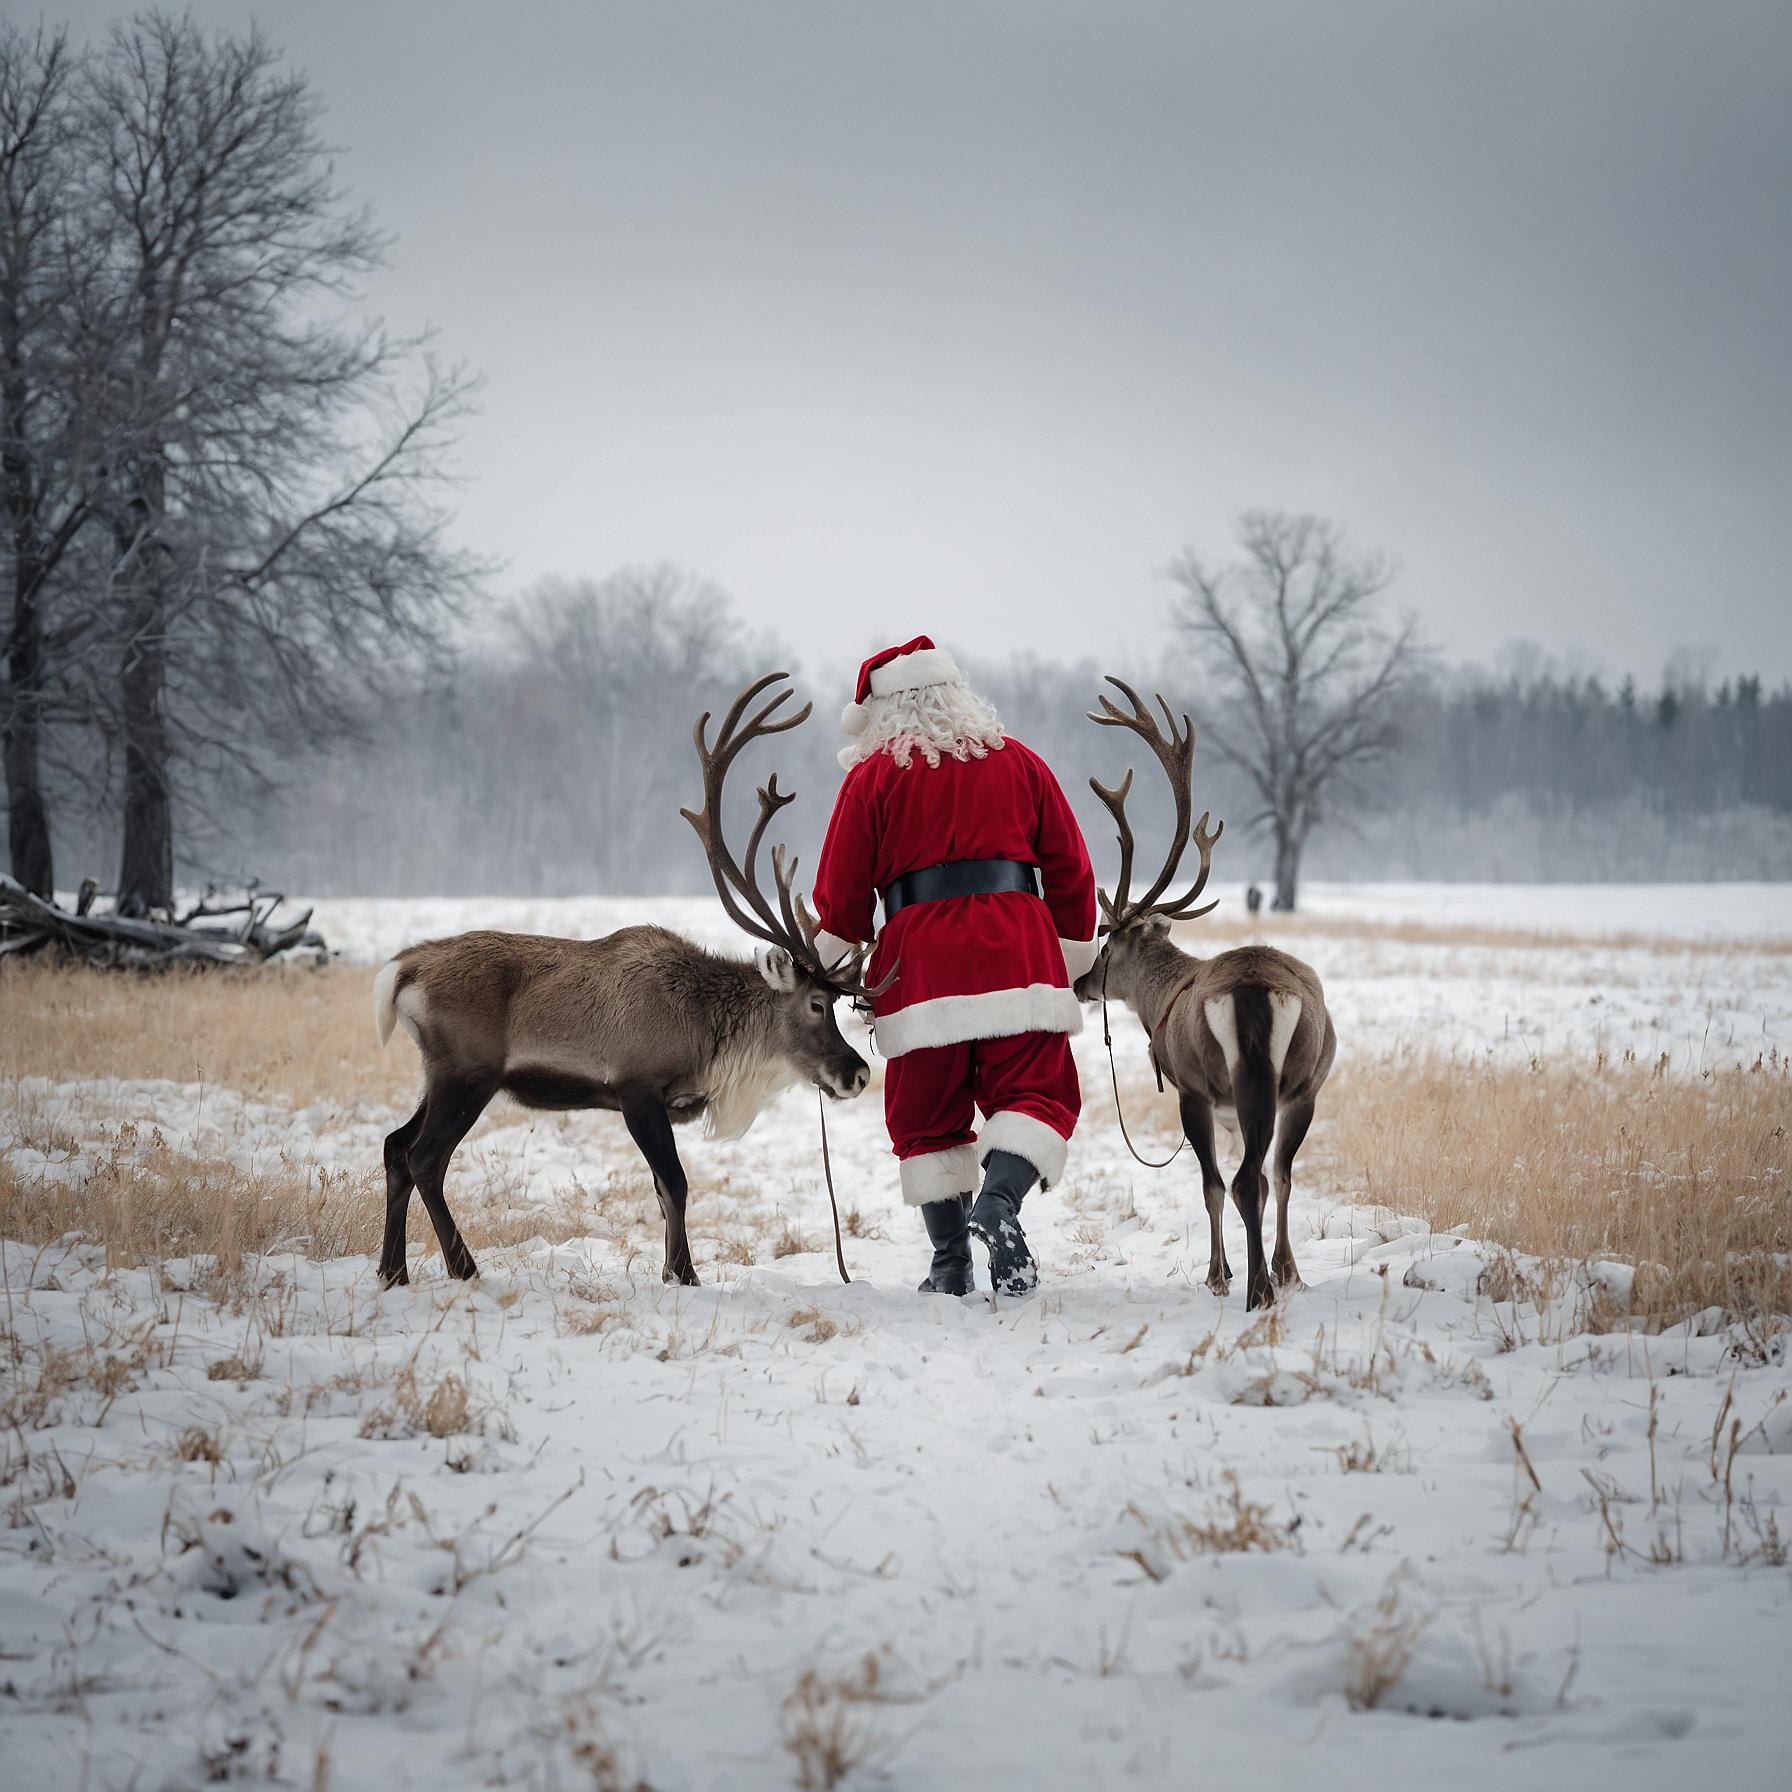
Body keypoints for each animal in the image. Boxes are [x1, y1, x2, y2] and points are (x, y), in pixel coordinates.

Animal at [369, 672, 886, 1290]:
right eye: (815, 1004)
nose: (857, 1073)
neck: (707, 1037)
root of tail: (403, 970)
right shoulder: (636, 1085)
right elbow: (676, 1185)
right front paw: (684, 1275)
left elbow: (664, 1191)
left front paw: (672, 1271)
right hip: (467, 1072)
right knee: (424, 1157)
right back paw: (462, 1268)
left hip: (439, 1073)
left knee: (395, 1146)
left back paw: (393, 1271)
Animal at [1073, 678, 1336, 1310]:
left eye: (1105, 942)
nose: (1080, 982)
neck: (1162, 996)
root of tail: (1255, 989)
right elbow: (1266, 1178)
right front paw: (1264, 1269)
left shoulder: (1192, 1093)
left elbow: (1211, 1184)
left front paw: (1220, 1274)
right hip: (1302, 1083)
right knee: (1276, 1176)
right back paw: (1284, 1273)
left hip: (1212, 1082)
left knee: (1233, 1182)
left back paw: (1254, 1288)